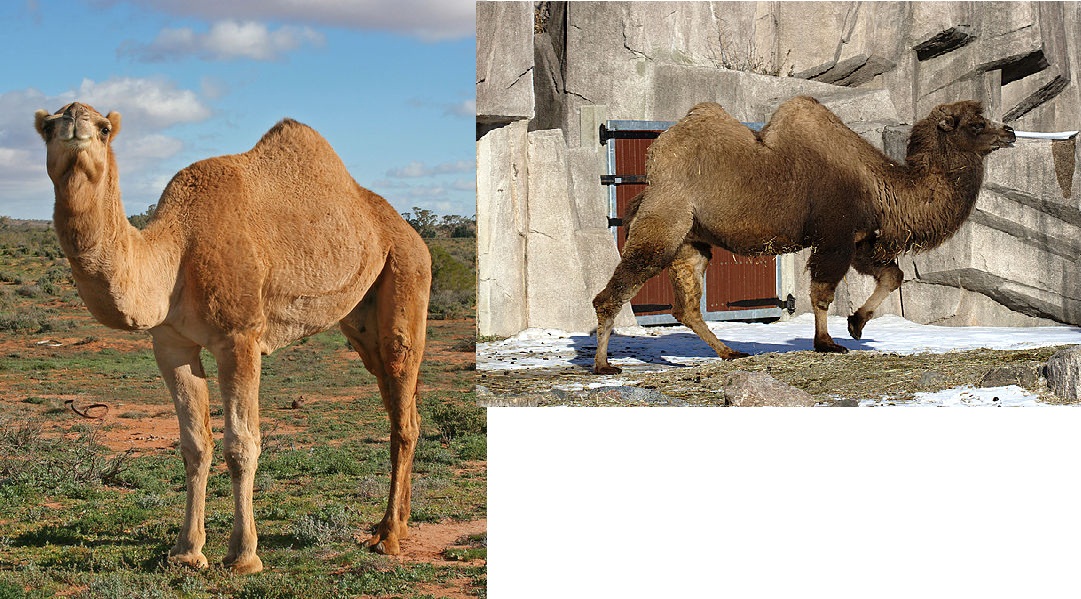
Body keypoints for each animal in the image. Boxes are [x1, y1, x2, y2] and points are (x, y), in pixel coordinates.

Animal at [35, 102, 431, 573]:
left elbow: (241, 445)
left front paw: (243, 555)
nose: (74, 121)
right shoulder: (171, 344)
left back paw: (388, 537)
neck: (176, 252)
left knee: (402, 400)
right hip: (361, 318)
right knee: (398, 403)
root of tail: (408, 230)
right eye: (47, 127)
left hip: (407, 273)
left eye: (104, 128)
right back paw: (397, 523)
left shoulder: (239, 338)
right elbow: (194, 444)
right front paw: (187, 552)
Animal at [592, 96, 1015, 374]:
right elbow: (823, 294)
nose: (1009, 131)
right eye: (976, 124)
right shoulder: (836, 235)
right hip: (665, 222)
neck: (882, 186)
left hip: (692, 241)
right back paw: (603, 365)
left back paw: (731, 353)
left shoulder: (861, 239)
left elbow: (892, 275)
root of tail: (652, 172)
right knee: (616, 290)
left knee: (687, 306)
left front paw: (857, 324)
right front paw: (827, 343)